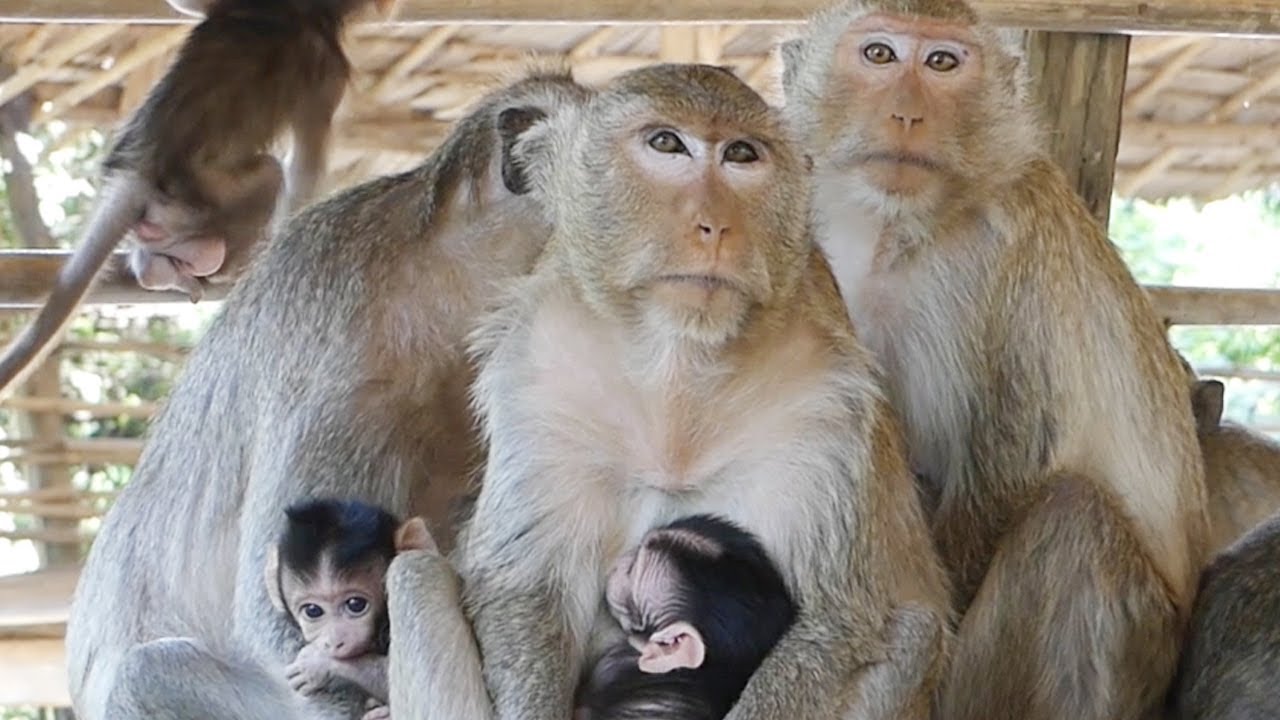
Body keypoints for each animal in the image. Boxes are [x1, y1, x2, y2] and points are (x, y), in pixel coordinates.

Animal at [0, 0, 391, 398]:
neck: (297, 7)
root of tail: (137, 174)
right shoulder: (328, 72)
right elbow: (306, 171)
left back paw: (153, 268)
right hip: (195, 206)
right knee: (270, 174)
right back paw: (223, 265)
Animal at [777, 2, 1210, 718]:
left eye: (942, 63)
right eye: (878, 54)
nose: (907, 113)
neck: (894, 232)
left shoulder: (1015, 243)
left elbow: (1011, 466)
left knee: (1070, 525)